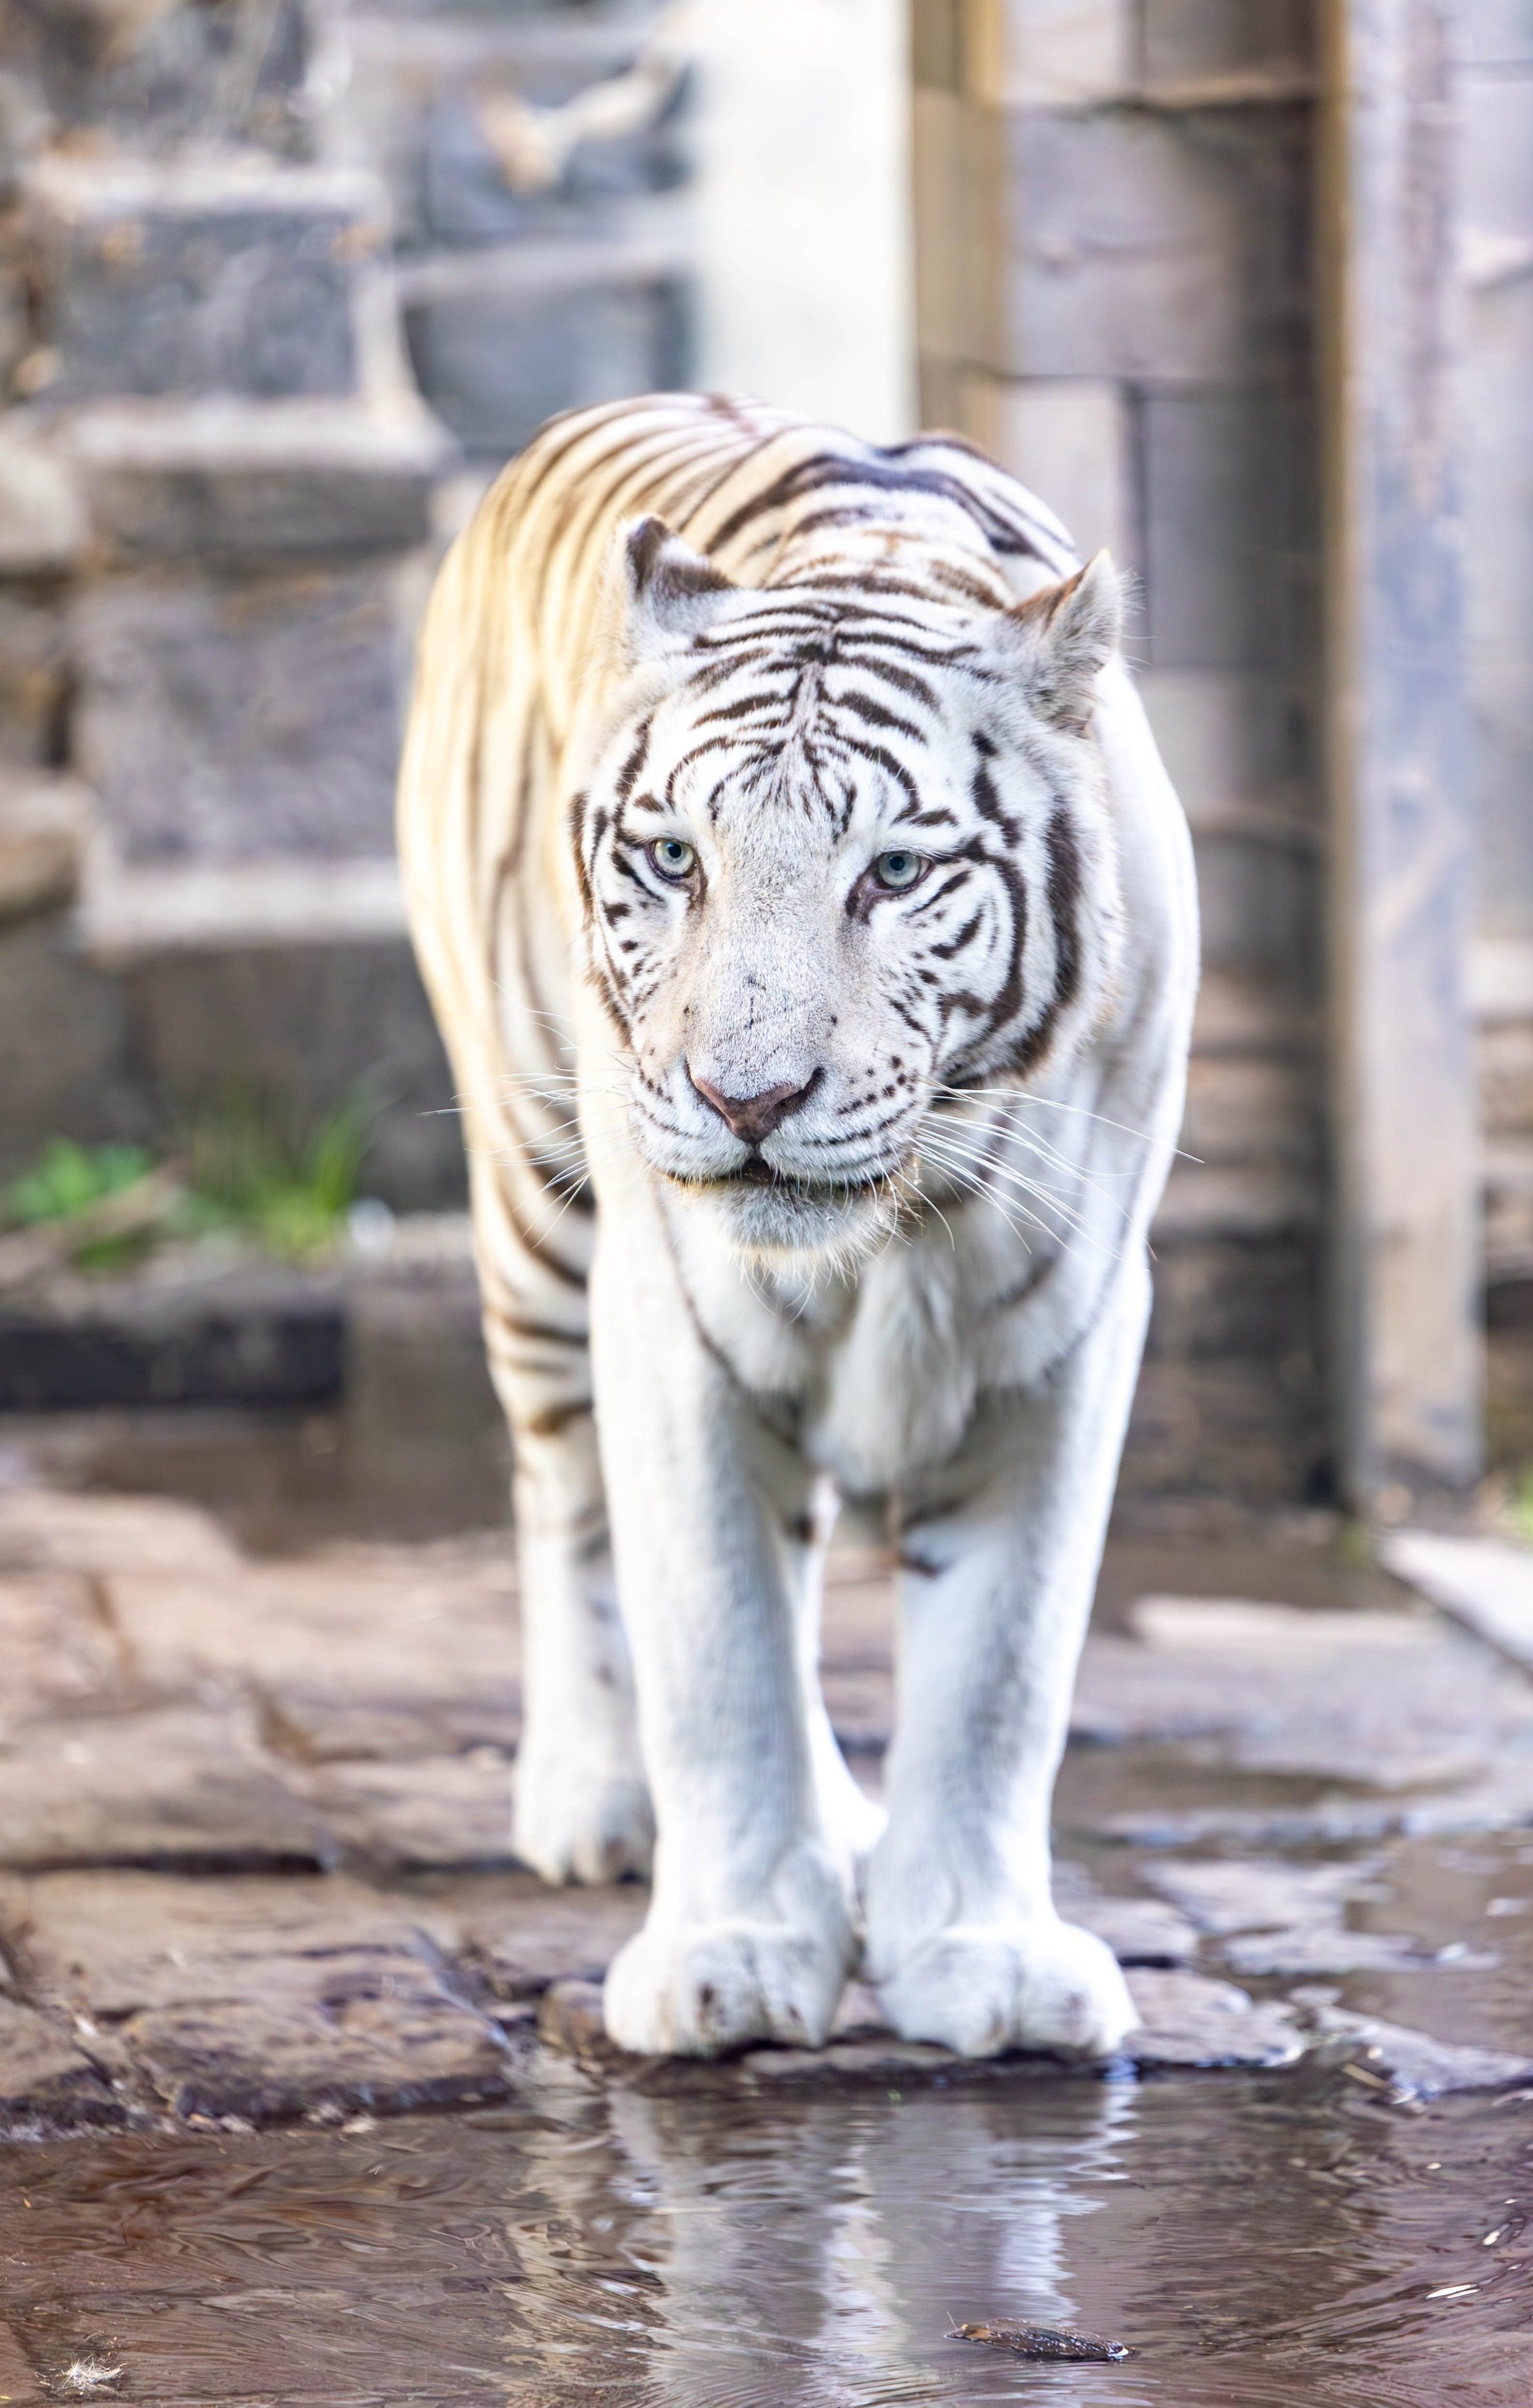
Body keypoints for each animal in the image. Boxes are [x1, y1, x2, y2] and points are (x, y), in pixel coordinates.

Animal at [398, 392, 1198, 2060]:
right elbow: (715, 1641)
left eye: (893, 872)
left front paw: (979, 1955)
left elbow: (1003, 1665)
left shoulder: (1072, 1319)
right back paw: (594, 1797)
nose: (745, 1094)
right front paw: (730, 1953)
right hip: (534, 1202)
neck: (906, 1223)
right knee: (563, 1496)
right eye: (675, 859)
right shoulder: (669, 1317)